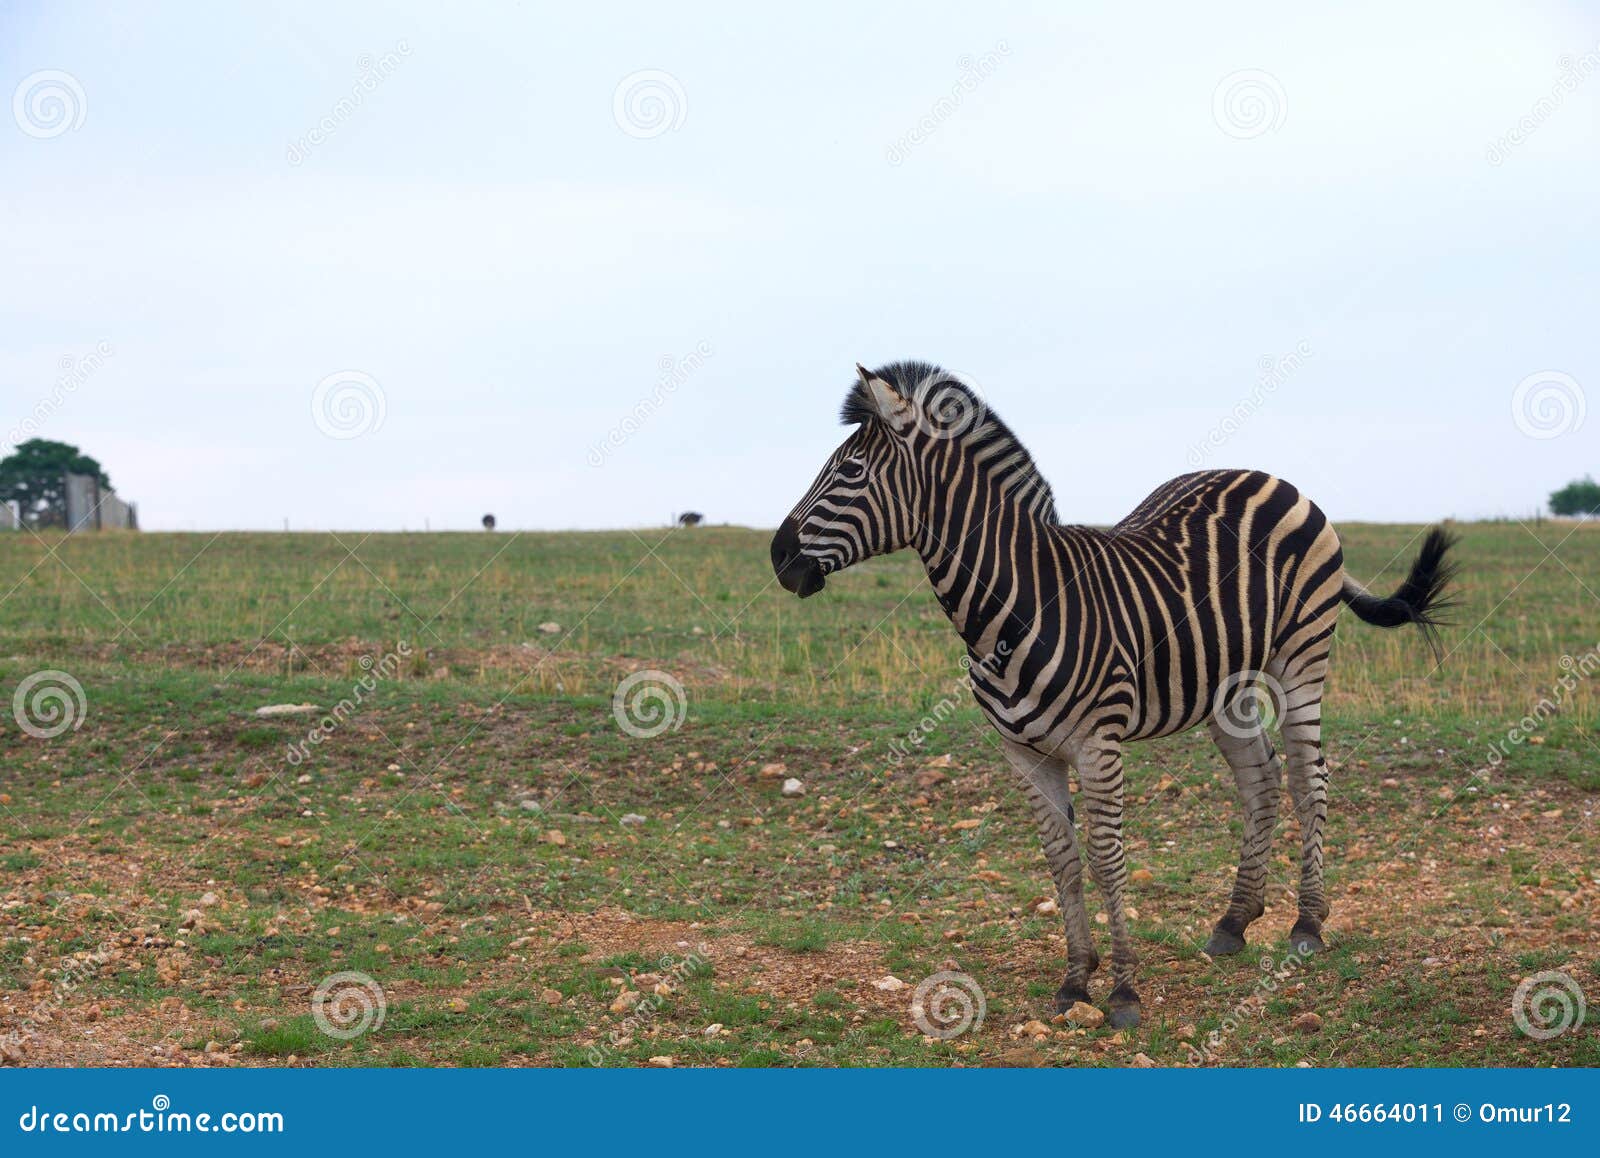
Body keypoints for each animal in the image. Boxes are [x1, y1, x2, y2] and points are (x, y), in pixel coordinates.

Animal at [770, 362, 1455, 1029]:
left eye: (851, 470)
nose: (778, 558)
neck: (1015, 607)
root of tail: (1274, 479)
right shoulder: (1024, 753)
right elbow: (1062, 862)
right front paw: (1076, 981)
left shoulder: (1098, 745)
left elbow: (1105, 858)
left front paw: (1124, 991)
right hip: (1224, 684)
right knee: (1259, 779)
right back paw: (1234, 922)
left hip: (1302, 658)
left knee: (1306, 779)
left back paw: (1308, 923)